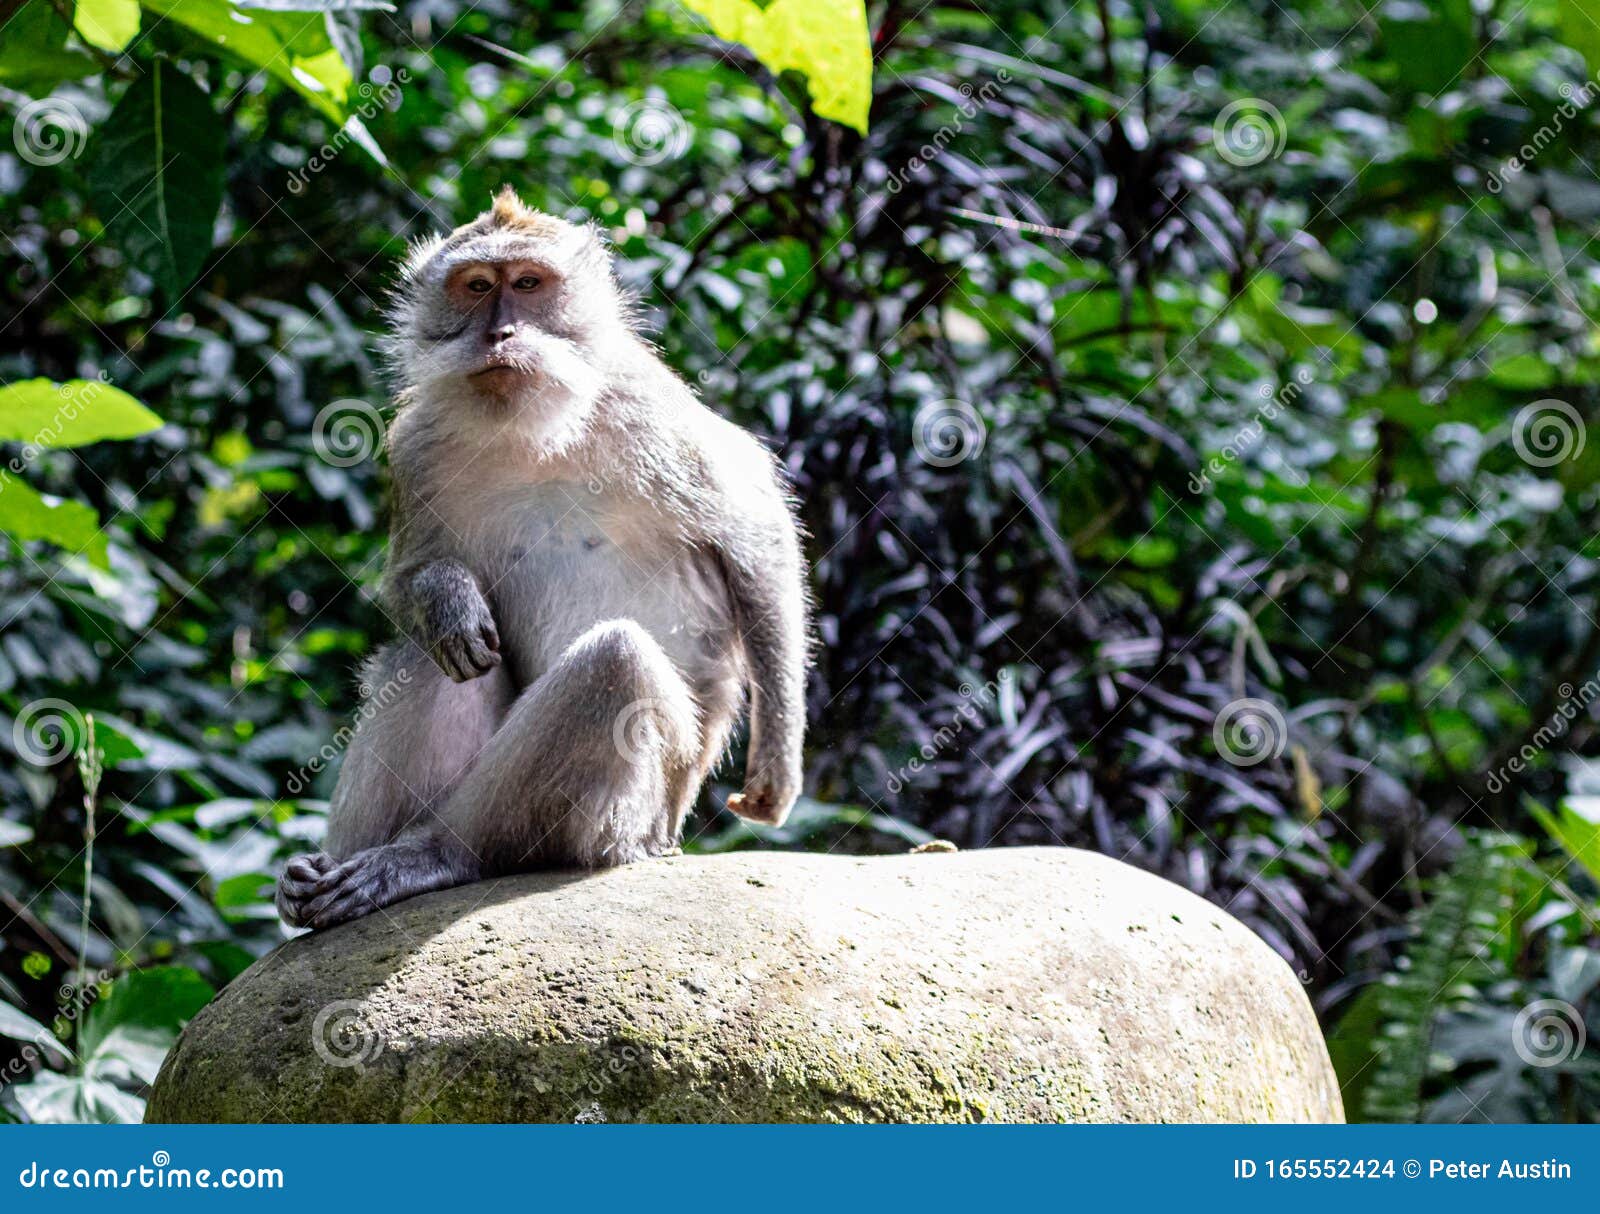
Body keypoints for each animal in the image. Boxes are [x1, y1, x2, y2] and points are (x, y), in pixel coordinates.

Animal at [276, 188, 808, 931]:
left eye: (528, 284)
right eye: (477, 287)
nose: (499, 334)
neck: (530, 427)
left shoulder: (648, 407)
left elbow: (758, 535)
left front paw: (776, 762)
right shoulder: (415, 444)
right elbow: (410, 577)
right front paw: (446, 596)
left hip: (627, 821)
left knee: (614, 664)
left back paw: (436, 855)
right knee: (432, 654)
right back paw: (327, 877)